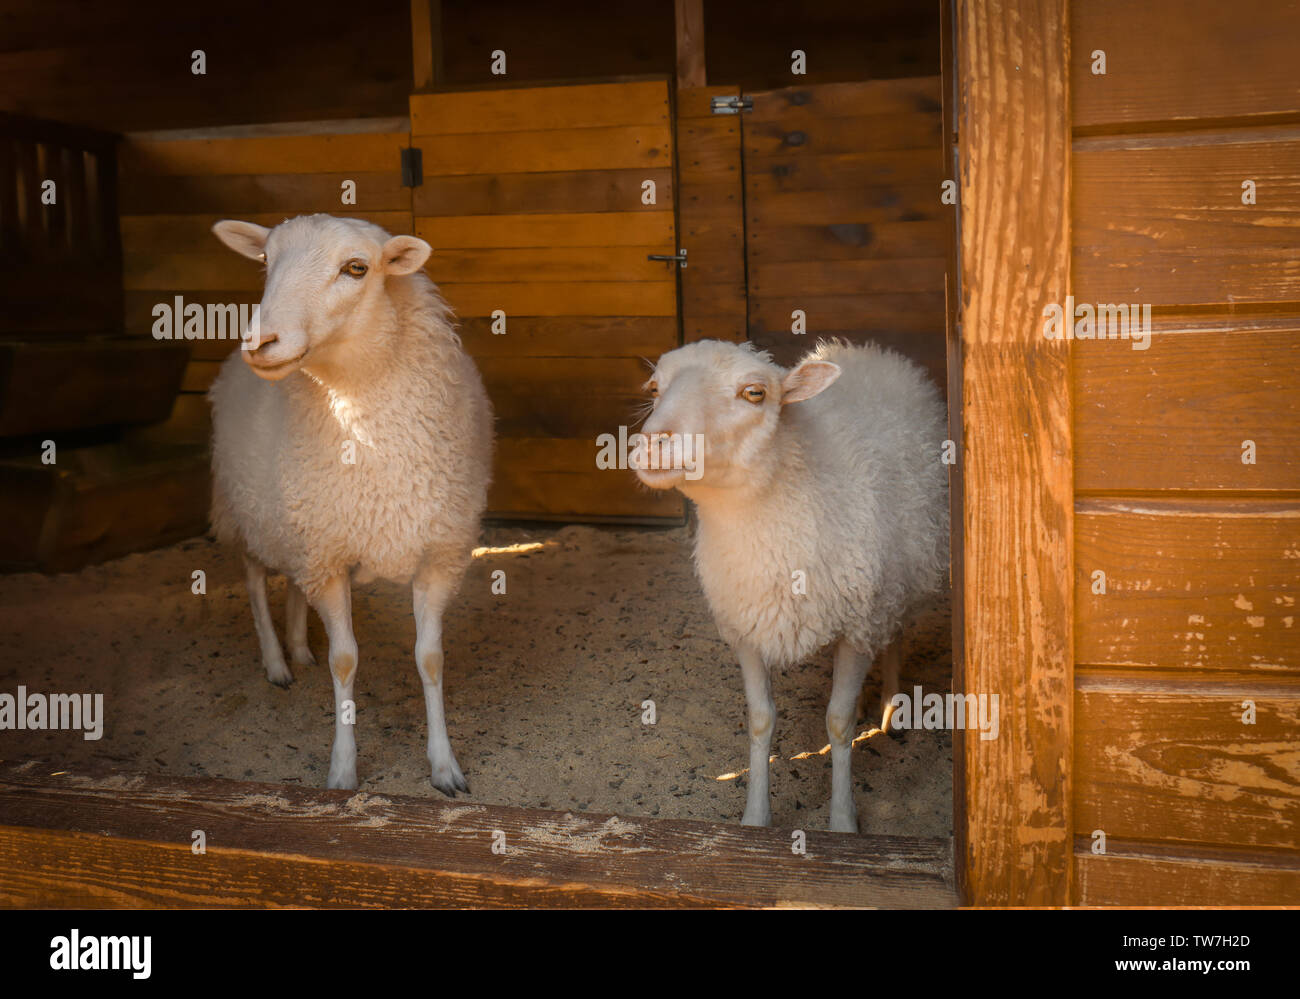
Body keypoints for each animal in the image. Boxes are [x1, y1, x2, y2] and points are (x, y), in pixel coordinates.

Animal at [207, 214, 493, 794]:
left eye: (357, 268)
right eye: (265, 261)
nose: (260, 340)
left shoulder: (435, 554)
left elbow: (431, 659)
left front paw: (444, 765)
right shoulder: (329, 557)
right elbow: (344, 662)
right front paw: (342, 769)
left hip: (297, 522)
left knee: (293, 585)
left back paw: (298, 648)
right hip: (246, 511)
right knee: (254, 582)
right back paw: (277, 662)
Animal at [633, 338, 948, 832]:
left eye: (755, 393)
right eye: (653, 387)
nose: (652, 445)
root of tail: (869, 350)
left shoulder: (858, 623)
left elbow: (838, 723)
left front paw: (843, 822)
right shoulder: (745, 626)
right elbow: (761, 720)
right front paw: (755, 818)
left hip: (895, 576)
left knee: (894, 632)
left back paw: (891, 705)